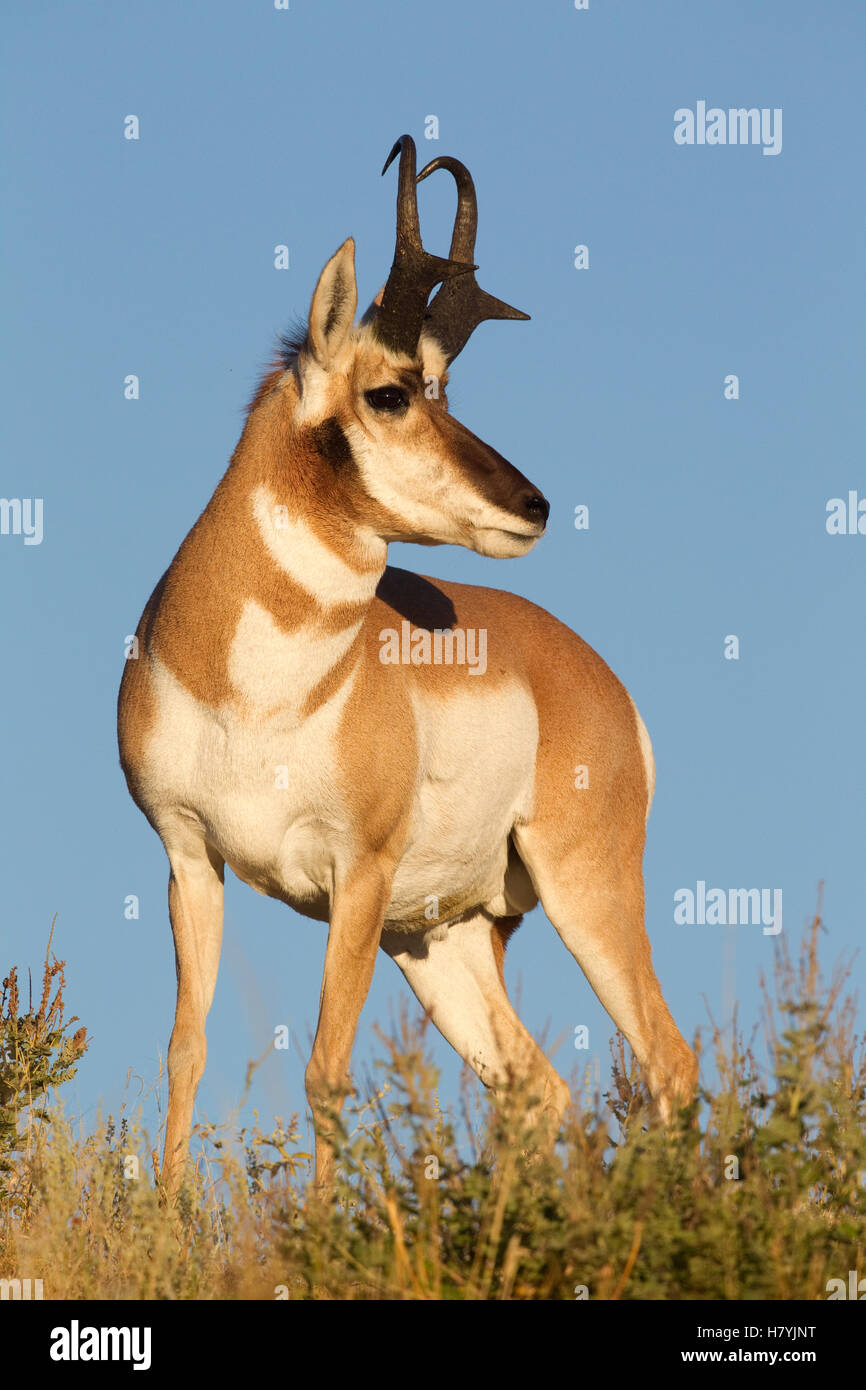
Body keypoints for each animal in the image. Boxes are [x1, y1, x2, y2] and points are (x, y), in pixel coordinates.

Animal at [118, 135, 697, 1196]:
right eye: (390, 393)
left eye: (445, 391)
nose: (534, 503)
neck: (257, 697)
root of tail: (587, 669)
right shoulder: (188, 857)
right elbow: (187, 1047)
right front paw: (167, 1213)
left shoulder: (358, 873)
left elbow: (327, 1069)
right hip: (439, 938)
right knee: (538, 1088)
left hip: (582, 890)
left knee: (670, 1064)